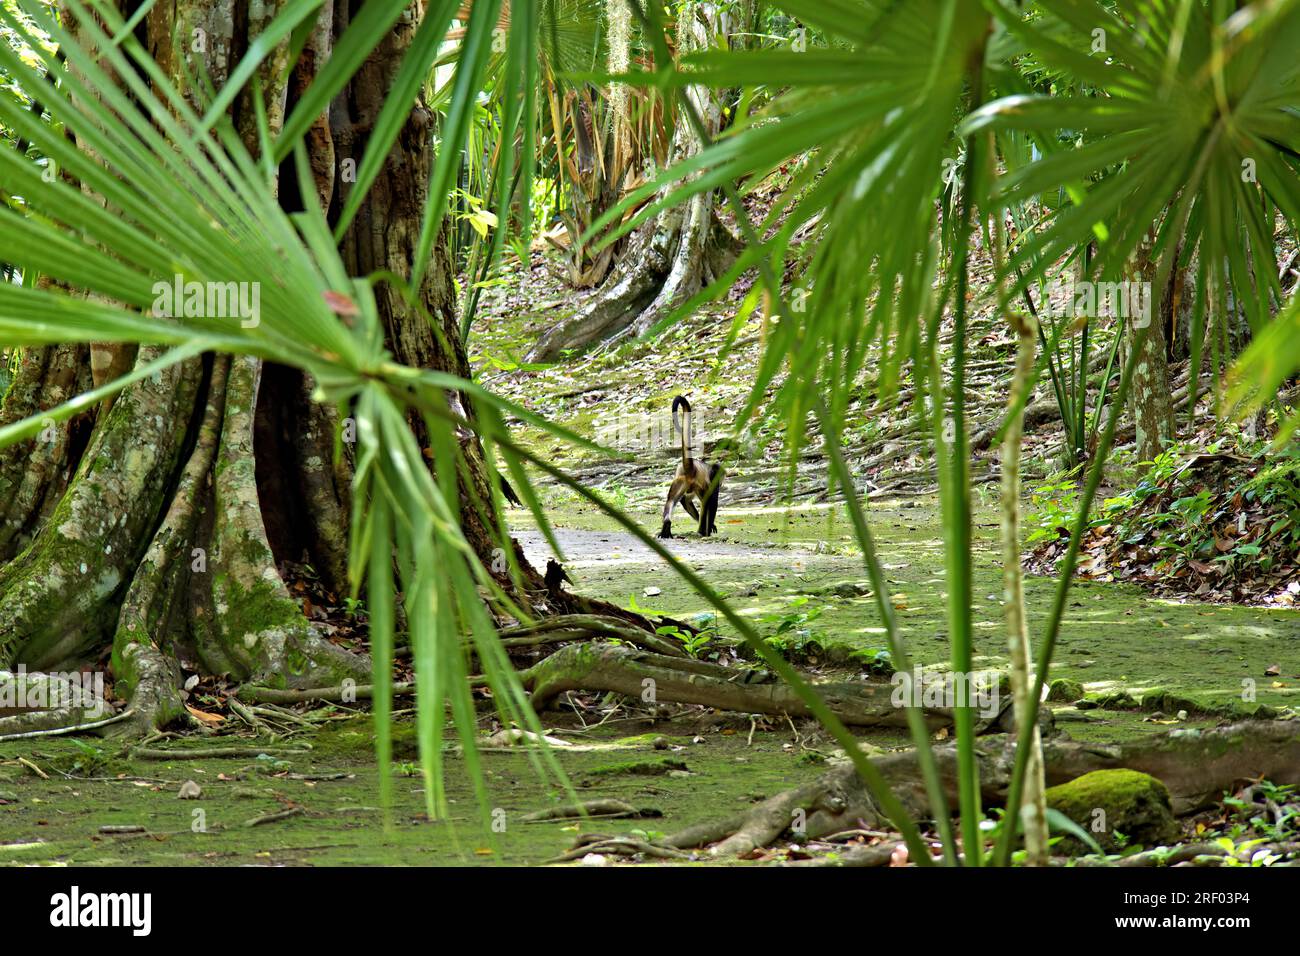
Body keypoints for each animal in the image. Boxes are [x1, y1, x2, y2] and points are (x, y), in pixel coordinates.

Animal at [657, 396, 731, 539]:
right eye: (721, 478)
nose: (722, 481)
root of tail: (691, 468)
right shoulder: (714, 477)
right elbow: (712, 502)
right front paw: (709, 528)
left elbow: (686, 501)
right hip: (693, 483)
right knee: (706, 502)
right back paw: (703, 532)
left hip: (680, 480)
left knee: (674, 501)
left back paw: (667, 524)